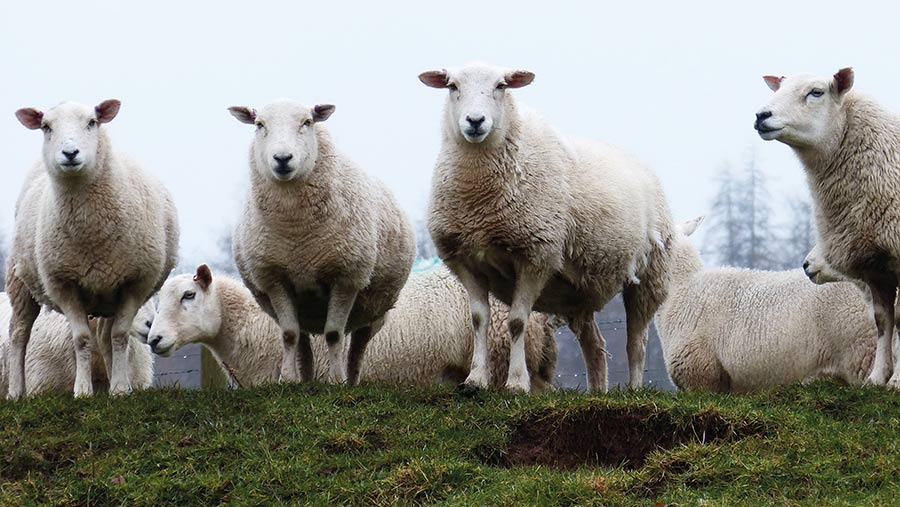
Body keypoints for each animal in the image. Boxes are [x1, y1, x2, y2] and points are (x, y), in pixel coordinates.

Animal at [228, 99, 416, 386]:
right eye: (259, 125)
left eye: (307, 122)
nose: (282, 159)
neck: (297, 231)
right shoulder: (275, 278)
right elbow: (289, 334)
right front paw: (287, 380)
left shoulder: (346, 277)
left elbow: (334, 334)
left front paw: (336, 381)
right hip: (304, 309)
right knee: (303, 342)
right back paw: (305, 380)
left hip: (374, 310)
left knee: (358, 345)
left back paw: (351, 379)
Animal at [419, 63, 674, 392]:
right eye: (452, 86)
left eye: (501, 86)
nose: (475, 121)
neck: (480, 202)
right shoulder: (465, 259)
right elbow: (477, 319)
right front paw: (475, 381)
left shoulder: (535, 254)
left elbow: (517, 321)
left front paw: (517, 384)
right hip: (577, 295)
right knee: (595, 346)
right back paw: (597, 391)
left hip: (650, 274)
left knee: (637, 341)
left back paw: (634, 388)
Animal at [755, 68, 900, 387]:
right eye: (779, 89)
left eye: (816, 92)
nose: (761, 115)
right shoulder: (875, 265)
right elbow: (883, 322)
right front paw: (876, 379)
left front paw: (897, 381)